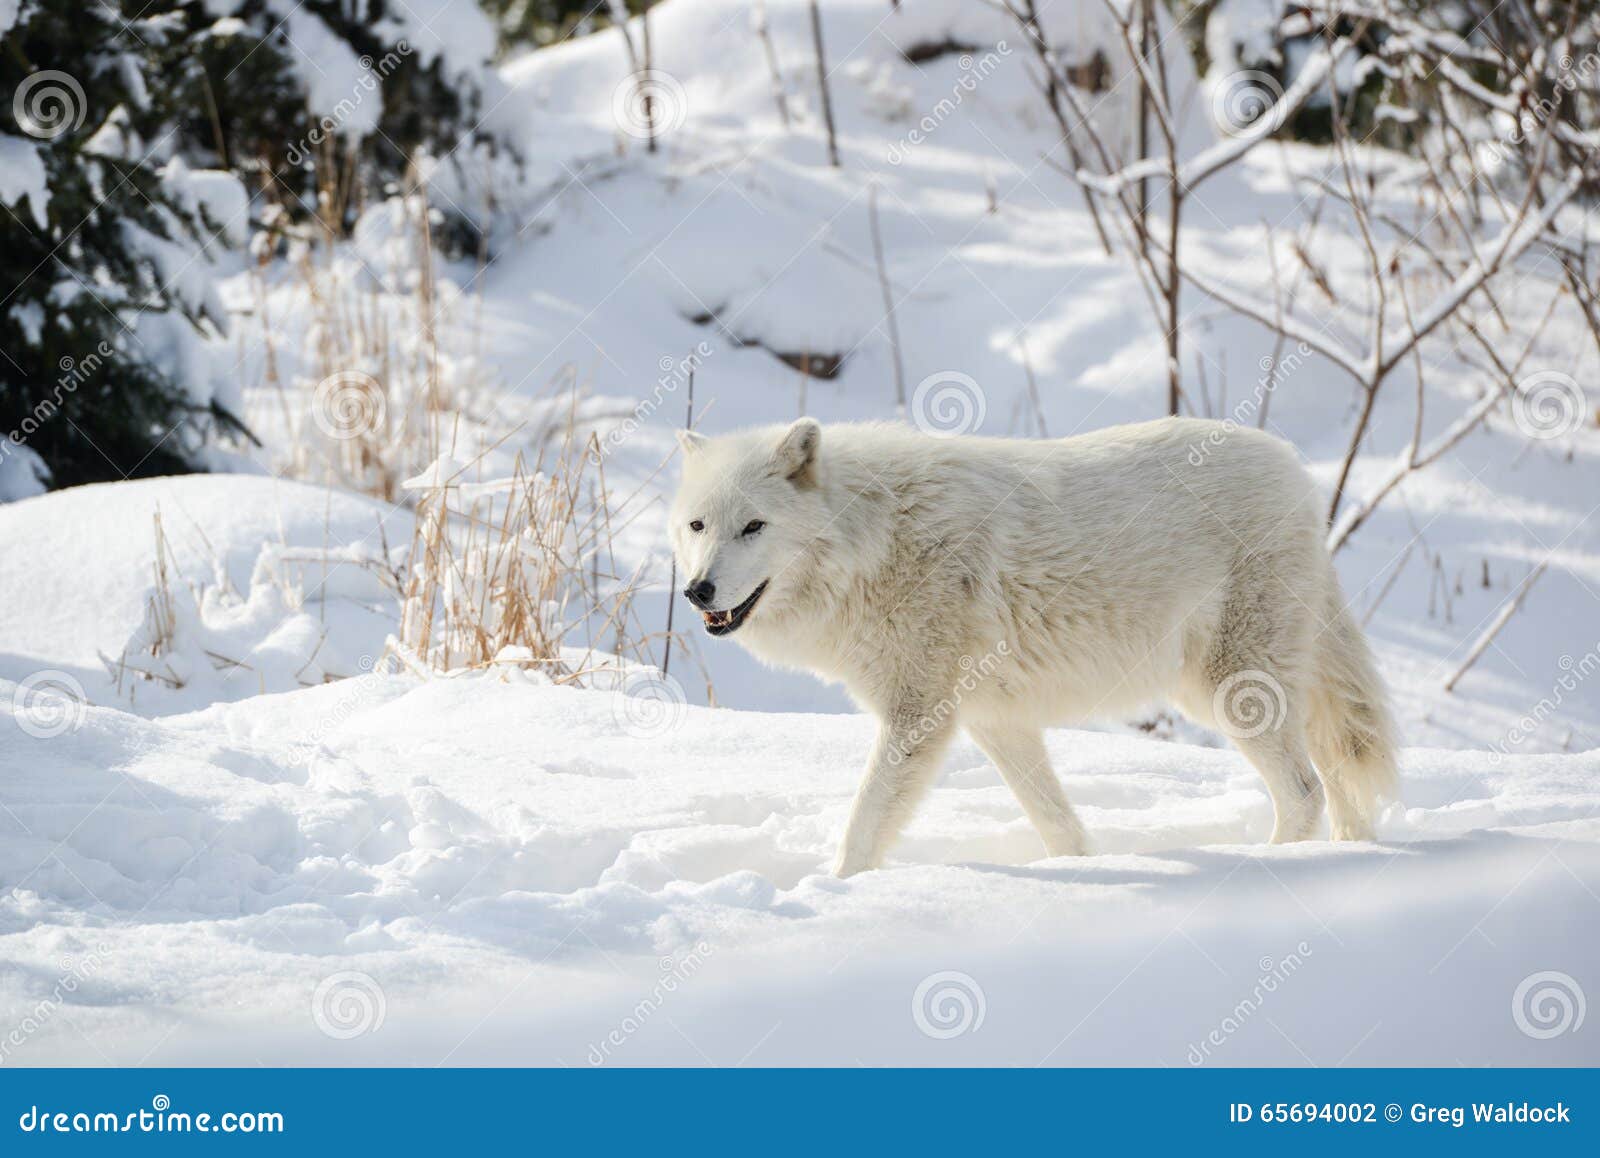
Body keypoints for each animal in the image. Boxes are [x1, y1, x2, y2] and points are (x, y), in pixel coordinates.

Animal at [669, 417, 1398, 877]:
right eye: (698, 525)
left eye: (754, 526)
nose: (698, 591)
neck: (874, 543)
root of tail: (1298, 472)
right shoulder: (996, 720)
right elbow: (1060, 828)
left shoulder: (917, 718)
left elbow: (863, 827)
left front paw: (833, 894)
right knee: (1338, 784)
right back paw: (1351, 855)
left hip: (1230, 690)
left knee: (1304, 792)